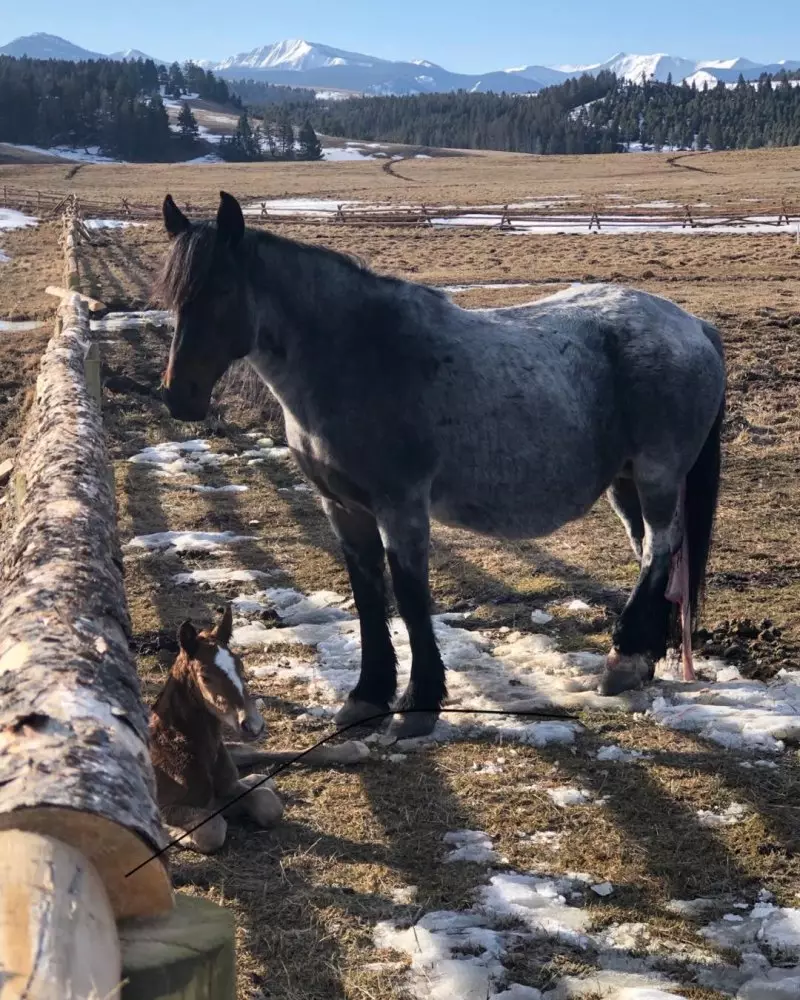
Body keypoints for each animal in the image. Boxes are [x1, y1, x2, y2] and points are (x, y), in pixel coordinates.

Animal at [150, 604, 368, 856]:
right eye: (205, 676)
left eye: (240, 666)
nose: (252, 724)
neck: (175, 745)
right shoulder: (163, 804)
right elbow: (212, 829)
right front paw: (169, 833)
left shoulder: (231, 787)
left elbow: (268, 806)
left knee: (249, 752)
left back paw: (351, 750)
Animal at [158, 195, 724, 740]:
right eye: (175, 298)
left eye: (220, 292)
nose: (178, 395)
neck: (359, 357)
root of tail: (693, 325)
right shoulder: (342, 508)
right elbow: (367, 596)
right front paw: (367, 696)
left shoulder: (401, 507)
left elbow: (411, 599)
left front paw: (419, 704)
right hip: (625, 483)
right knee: (654, 552)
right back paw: (642, 659)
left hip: (656, 474)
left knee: (658, 548)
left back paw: (622, 660)